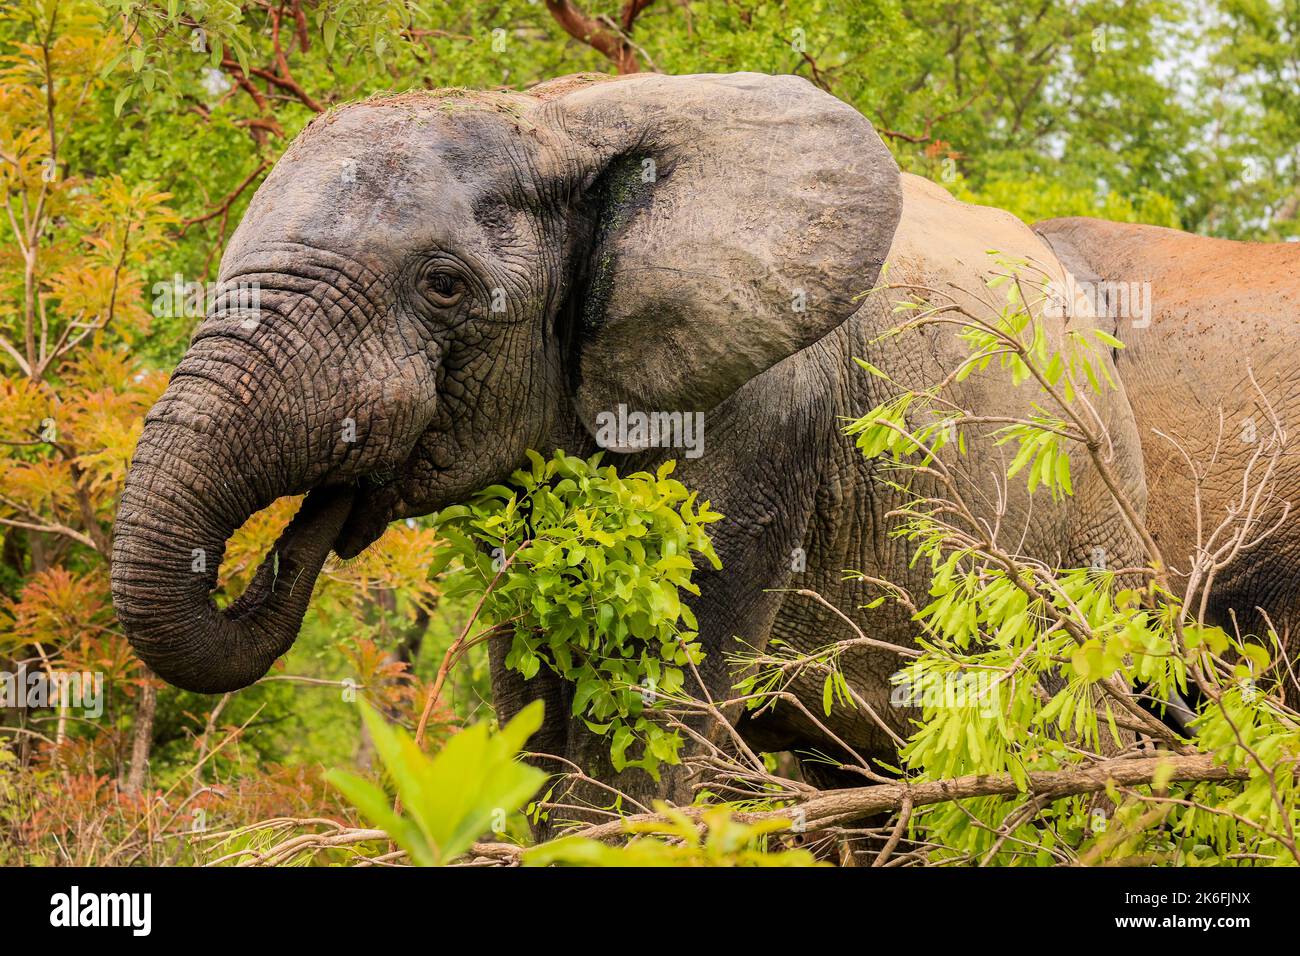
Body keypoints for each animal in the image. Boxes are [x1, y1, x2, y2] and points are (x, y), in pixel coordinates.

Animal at [111, 72, 1147, 811]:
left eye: (444, 285)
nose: (327, 512)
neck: (555, 118)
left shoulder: (764, 412)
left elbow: (652, 707)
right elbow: (532, 685)